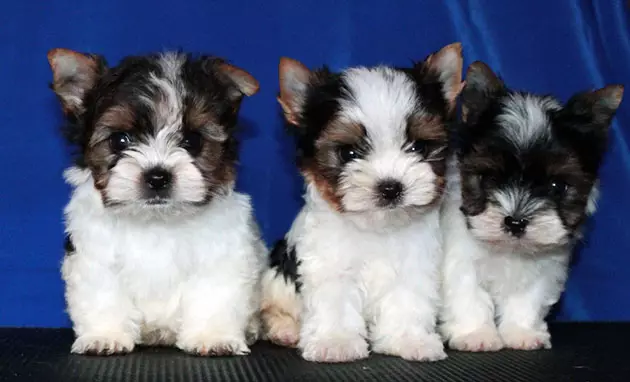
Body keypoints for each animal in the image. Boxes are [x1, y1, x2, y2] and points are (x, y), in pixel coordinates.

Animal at [49, 49, 266, 356]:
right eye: (120, 140)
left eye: (192, 140)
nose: (157, 176)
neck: (157, 220)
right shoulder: (95, 254)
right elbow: (102, 294)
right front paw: (105, 336)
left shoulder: (222, 254)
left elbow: (214, 295)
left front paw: (212, 337)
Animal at [260, 43, 464, 362]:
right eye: (349, 153)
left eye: (419, 147)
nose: (391, 187)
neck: (376, 228)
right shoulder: (330, 265)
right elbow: (335, 302)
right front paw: (336, 342)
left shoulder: (413, 266)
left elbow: (408, 300)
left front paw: (409, 340)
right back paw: (285, 329)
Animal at [442, 62, 624, 352]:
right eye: (490, 179)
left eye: (555, 186)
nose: (515, 222)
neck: (511, 250)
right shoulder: (460, 259)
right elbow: (468, 294)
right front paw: (476, 334)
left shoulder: (545, 265)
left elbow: (528, 297)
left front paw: (521, 332)